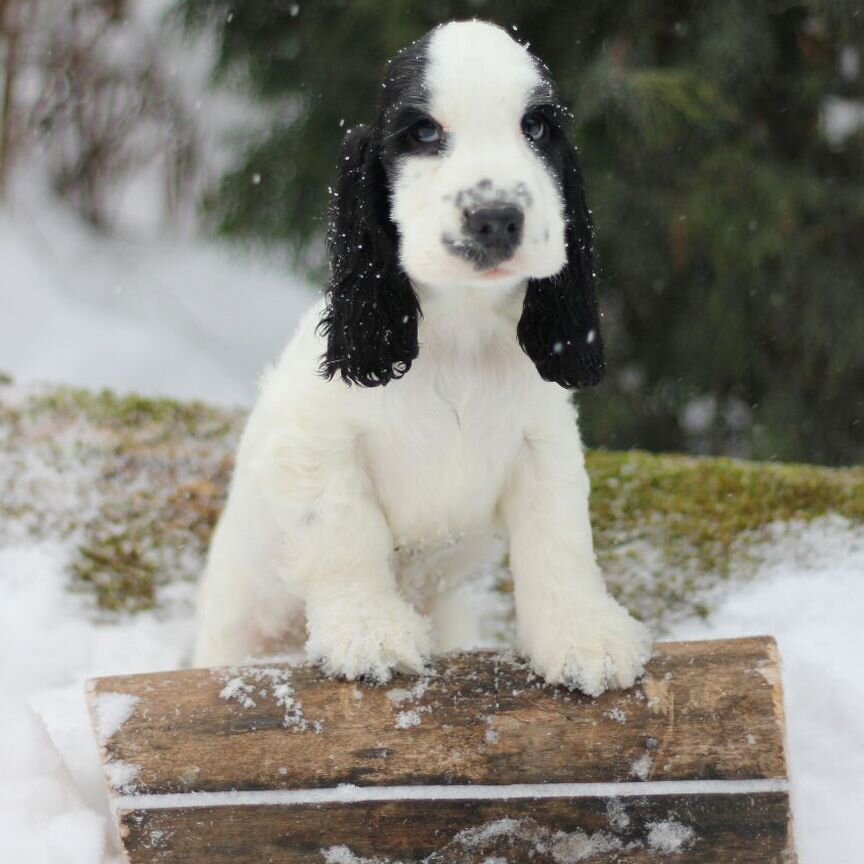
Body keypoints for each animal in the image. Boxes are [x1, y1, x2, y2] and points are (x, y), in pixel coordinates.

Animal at [196, 18, 652, 696]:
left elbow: (559, 538)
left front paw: (584, 638)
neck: (459, 332)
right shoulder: (316, 442)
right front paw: (369, 633)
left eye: (536, 127)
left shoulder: (543, 443)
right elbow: (344, 531)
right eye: (424, 132)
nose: (495, 218)